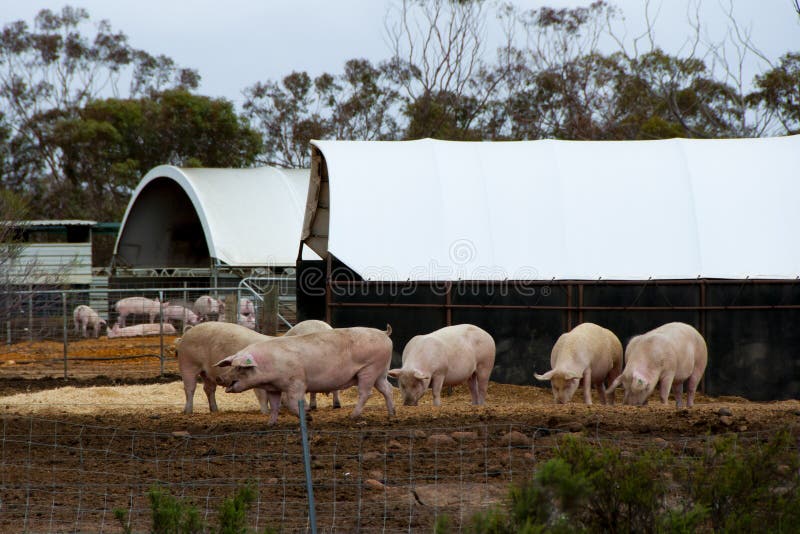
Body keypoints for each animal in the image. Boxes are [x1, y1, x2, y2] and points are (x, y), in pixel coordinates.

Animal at [215, 325, 396, 425]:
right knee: (387, 389)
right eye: (232, 366)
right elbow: (275, 406)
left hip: (369, 369)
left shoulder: (297, 382)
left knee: (365, 393)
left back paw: (352, 416)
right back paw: (392, 414)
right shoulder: (274, 388)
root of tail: (384, 333)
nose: (220, 378)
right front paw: (270, 424)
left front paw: (308, 417)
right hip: (381, 371)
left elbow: (293, 403)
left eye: (240, 368)